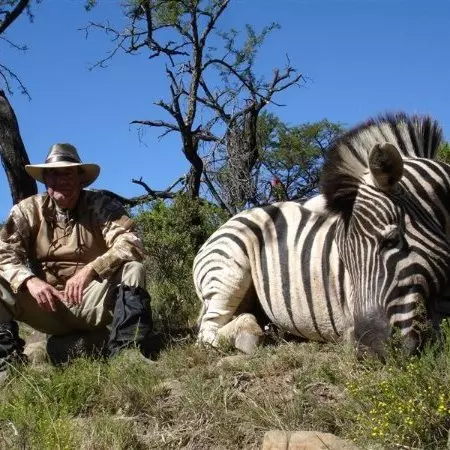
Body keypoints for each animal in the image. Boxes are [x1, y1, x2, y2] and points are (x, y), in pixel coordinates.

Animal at [194, 113, 450, 358]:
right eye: (343, 257)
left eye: (391, 241)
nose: (370, 349)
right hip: (229, 273)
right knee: (207, 333)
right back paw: (247, 333)